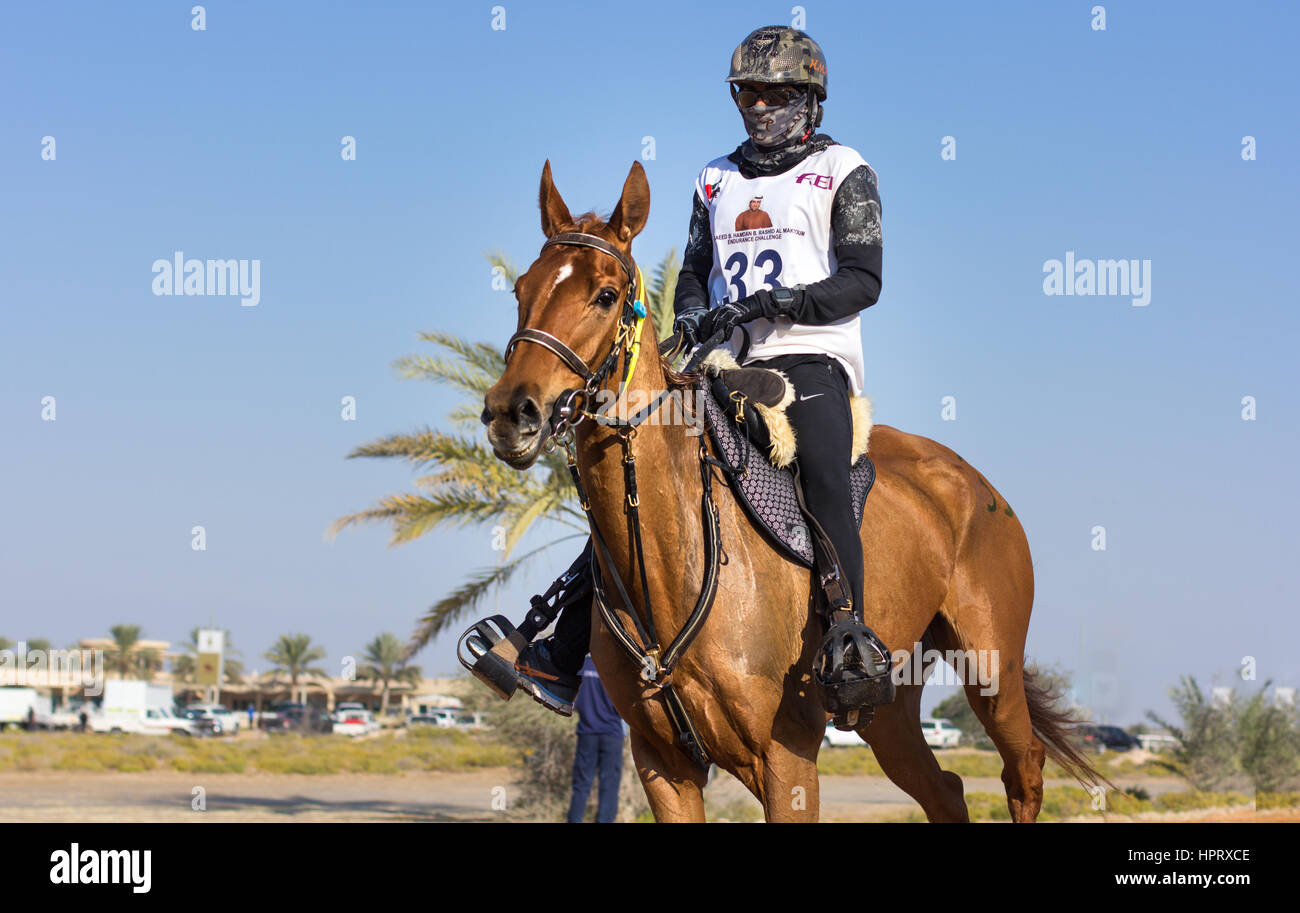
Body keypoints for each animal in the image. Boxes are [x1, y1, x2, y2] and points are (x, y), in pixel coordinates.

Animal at [481, 159, 1102, 822]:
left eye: (605, 295)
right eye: (521, 289)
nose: (512, 411)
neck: (677, 559)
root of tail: (978, 485)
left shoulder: (787, 759)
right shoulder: (662, 765)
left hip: (992, 670)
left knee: (1024, 770)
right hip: (890, 711)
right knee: (947, 791)